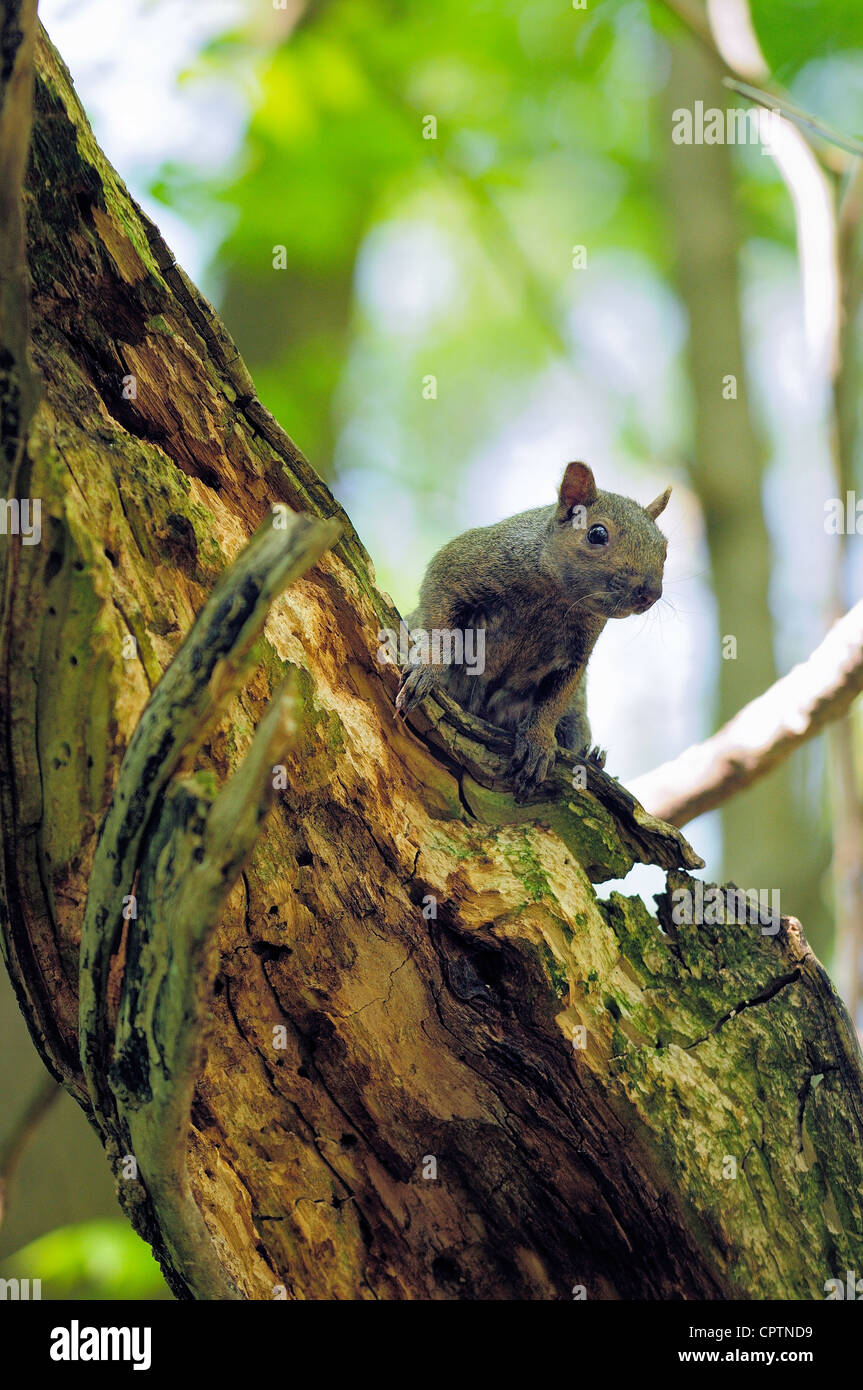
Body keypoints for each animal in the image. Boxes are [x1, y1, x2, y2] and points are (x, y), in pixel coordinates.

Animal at [396, 461, 671, 802]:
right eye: (597, 534)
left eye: (665, 549)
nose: (651, 592)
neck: (556, 598)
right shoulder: (464, 564)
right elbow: (439, 613)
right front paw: (428, 666)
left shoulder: (576, 653)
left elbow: (555, 698)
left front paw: (538, 741)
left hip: (575, 718)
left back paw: (593, 758)